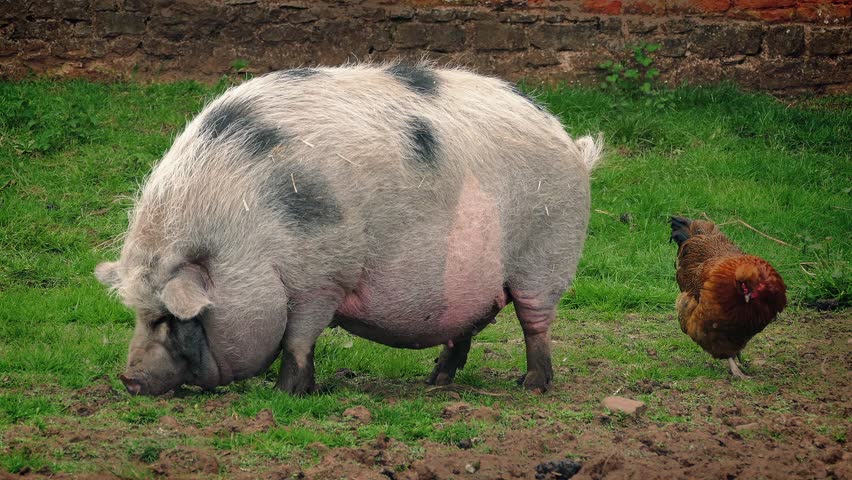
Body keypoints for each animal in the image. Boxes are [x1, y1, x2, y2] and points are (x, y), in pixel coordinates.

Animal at [95, 63, 601, 396]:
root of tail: (570, 142)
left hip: (547, 254)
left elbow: (298, 340)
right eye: (138, 312)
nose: (128, 378)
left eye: (168, 317)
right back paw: (434, 383)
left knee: (535, 322)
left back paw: (531, 386)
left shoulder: (321, 279)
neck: (248, 244)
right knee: (468, 323)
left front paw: (286, 394)